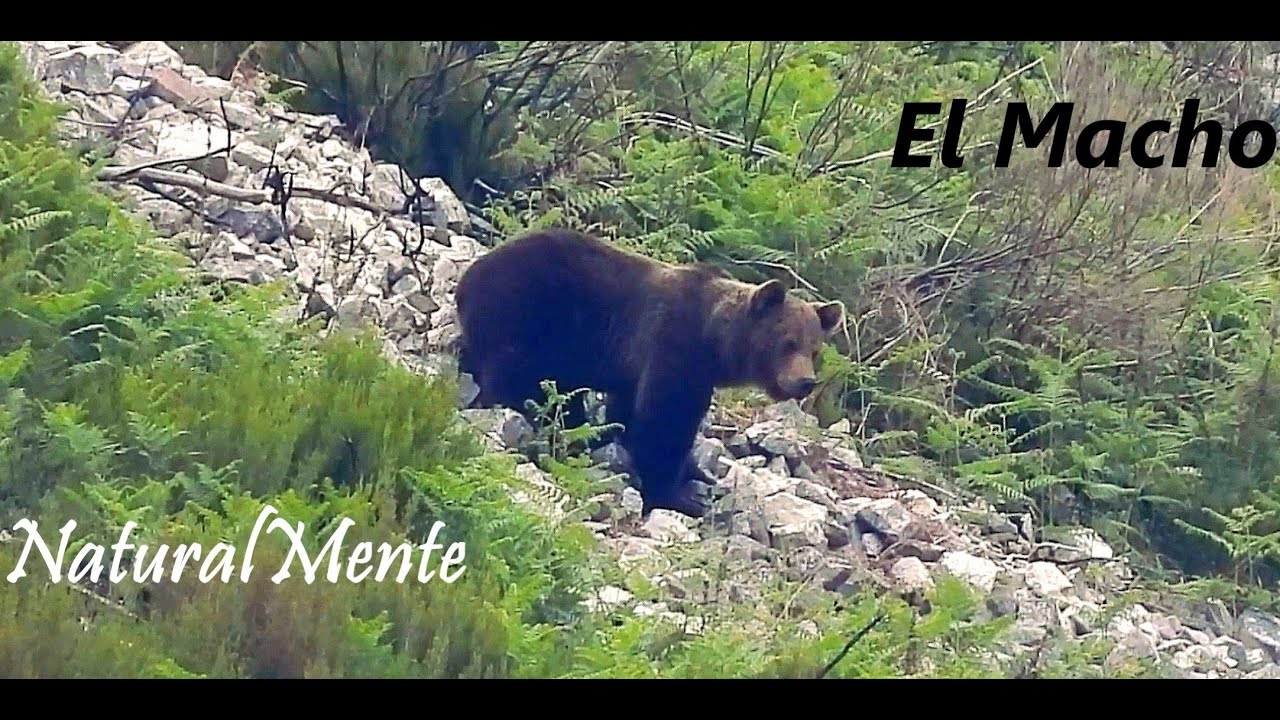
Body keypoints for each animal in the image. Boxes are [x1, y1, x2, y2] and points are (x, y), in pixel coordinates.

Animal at [454, 227, 843, 518]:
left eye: (814, 350)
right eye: (786, 343)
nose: (804, 382)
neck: (714, 342)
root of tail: (468, 278)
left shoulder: (634, 367)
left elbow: (629, 410)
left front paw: (698, 473)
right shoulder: (674, 346)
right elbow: (663, 421)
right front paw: (680, 495)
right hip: (526, 312)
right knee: (519, 377)